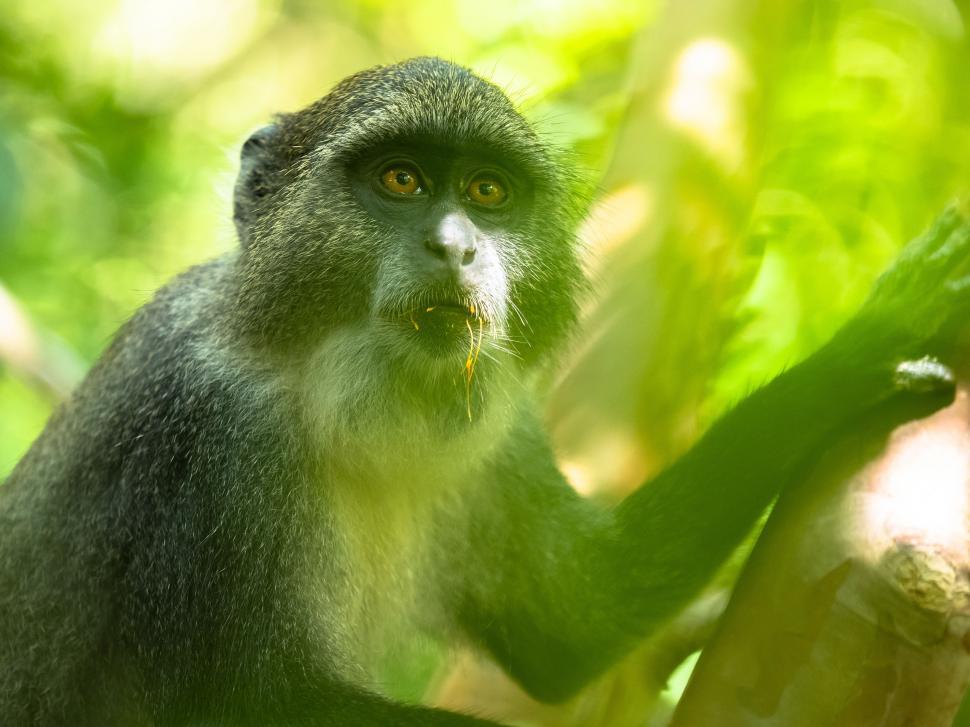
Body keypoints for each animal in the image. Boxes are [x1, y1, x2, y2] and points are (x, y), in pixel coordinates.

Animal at [1, 56, 968, 726]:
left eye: (487, 191)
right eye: (401, 178)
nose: (456, 245)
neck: (322, 386)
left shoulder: (499, 430)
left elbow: (579, 613)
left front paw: (872, 346)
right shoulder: (209, 427)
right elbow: (248, 703)